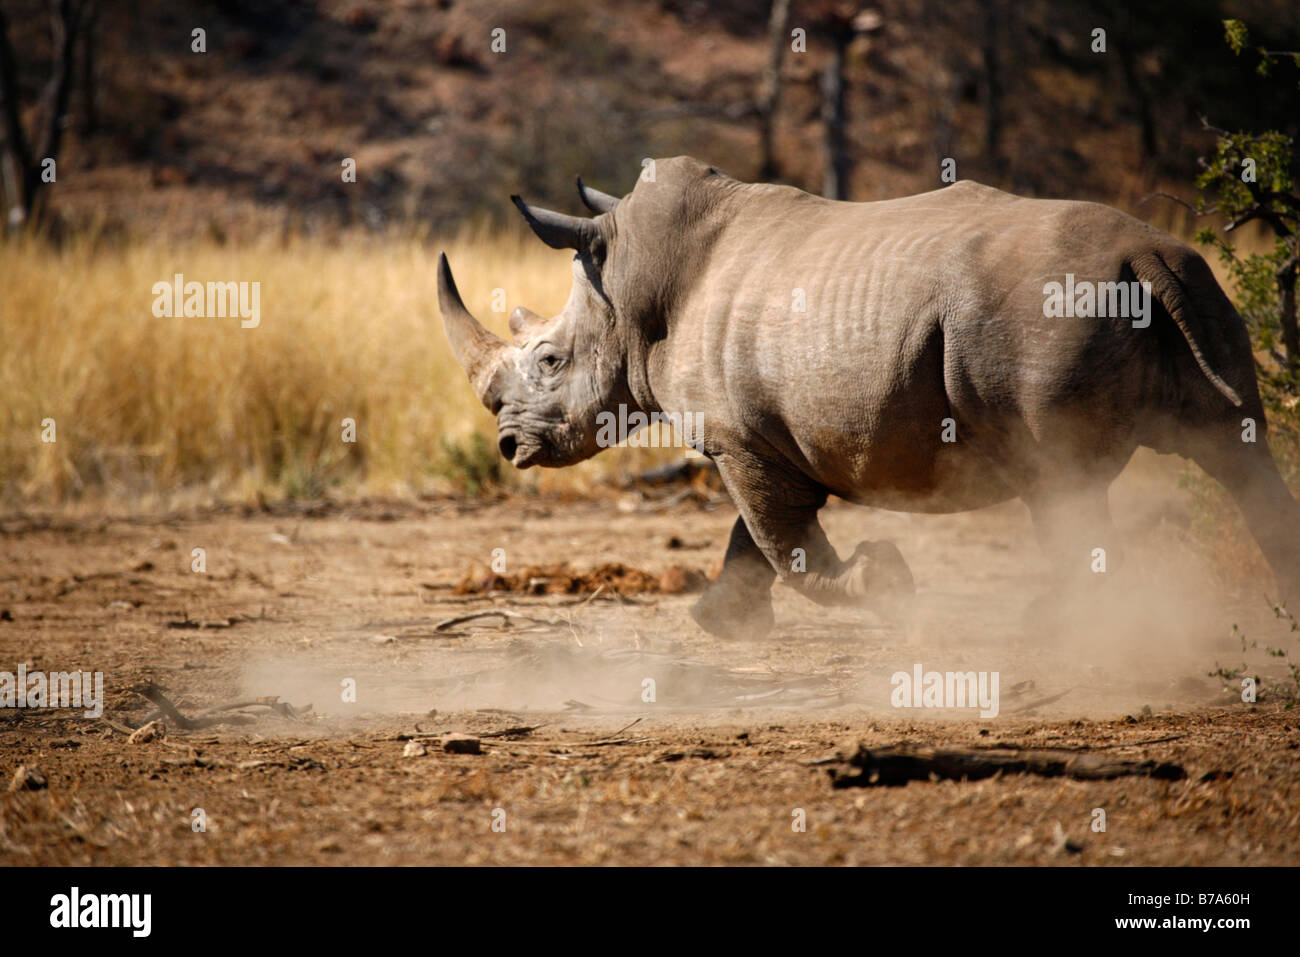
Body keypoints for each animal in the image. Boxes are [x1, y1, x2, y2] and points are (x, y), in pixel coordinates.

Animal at [437, 156, 1300, 638]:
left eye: (550, 359)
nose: (510, 446)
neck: (629, 290)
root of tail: (1144, 255)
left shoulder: (736, 437)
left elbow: (781, 542)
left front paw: (882, 583)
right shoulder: (768, 433)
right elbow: (756, 539)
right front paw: (720, 625)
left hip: (1050, 314)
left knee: (1063, 480)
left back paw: (1066, 630)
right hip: (1201, 289)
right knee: (1238, 451)